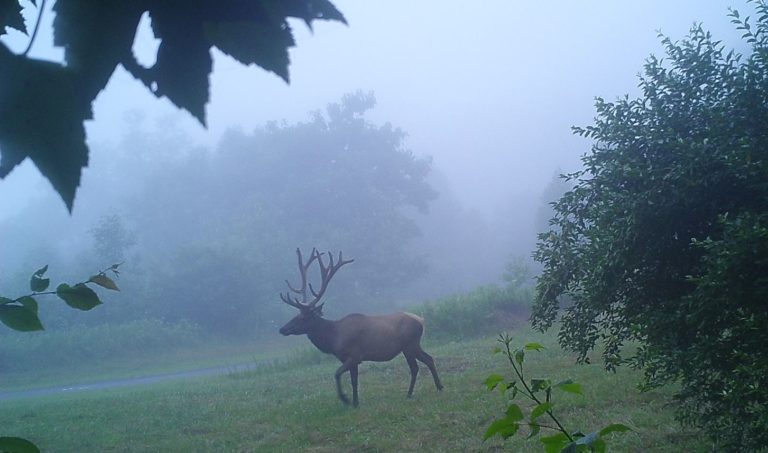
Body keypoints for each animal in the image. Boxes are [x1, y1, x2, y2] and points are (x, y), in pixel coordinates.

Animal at [278, 248, 443, 407]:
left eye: (302, 318)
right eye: (296, 315)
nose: (282, 329)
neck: (333, 339)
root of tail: (421, 320)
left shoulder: (354, 355)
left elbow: (338, 374)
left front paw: (346, 399)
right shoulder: (351, 360)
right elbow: (354, 381)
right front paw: (355, 402)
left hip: (410, 345)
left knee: (416, 366)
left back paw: (412, 393)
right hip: (410, 346)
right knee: (427, 360)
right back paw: (438, 387)